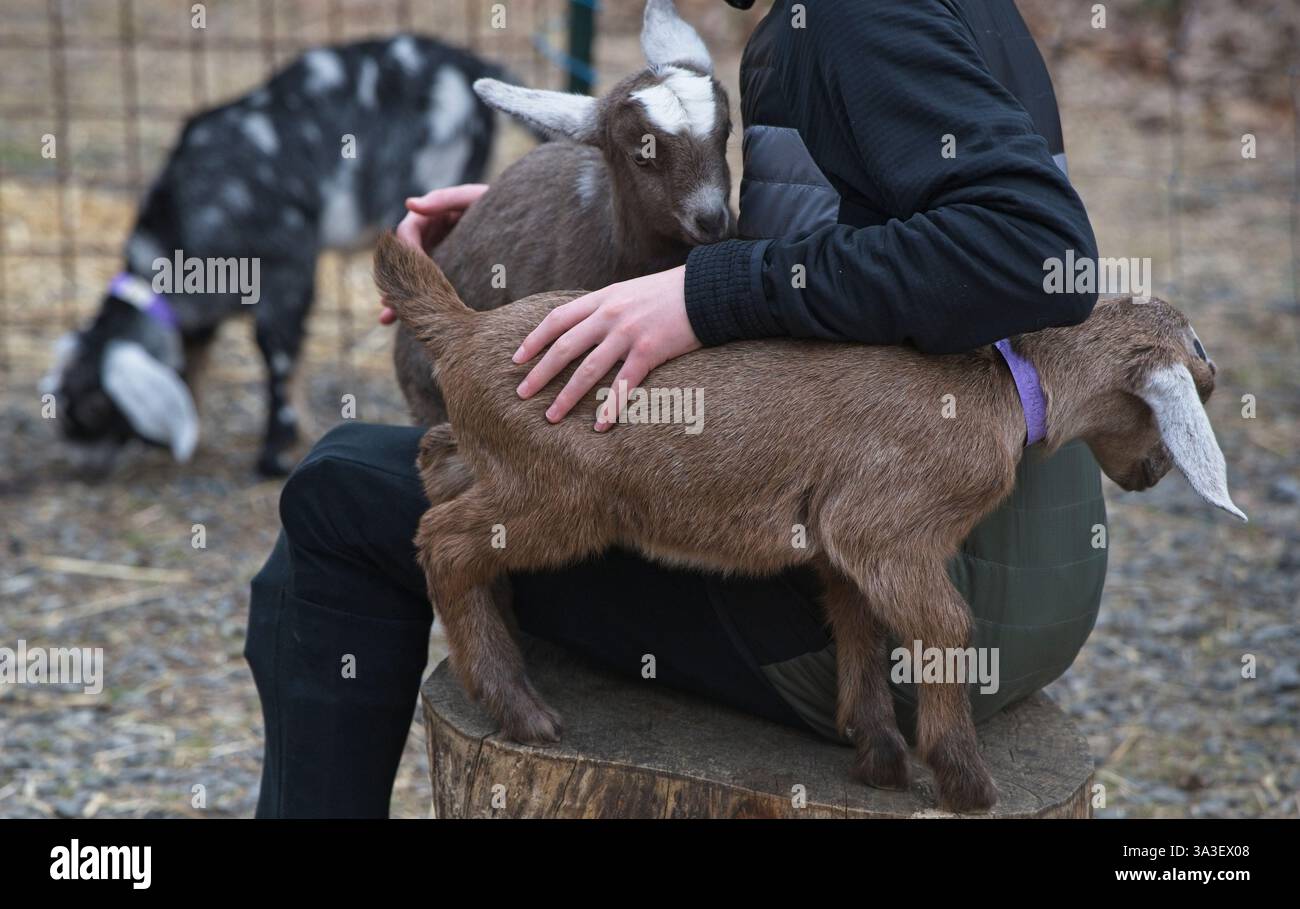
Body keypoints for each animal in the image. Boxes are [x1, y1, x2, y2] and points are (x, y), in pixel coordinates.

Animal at [44, 35, 503, 476]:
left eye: (93, 406)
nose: (82, 466)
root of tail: (471, 63)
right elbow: (198, 352)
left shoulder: (288, 266)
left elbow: (277, 353)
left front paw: (275, 456)